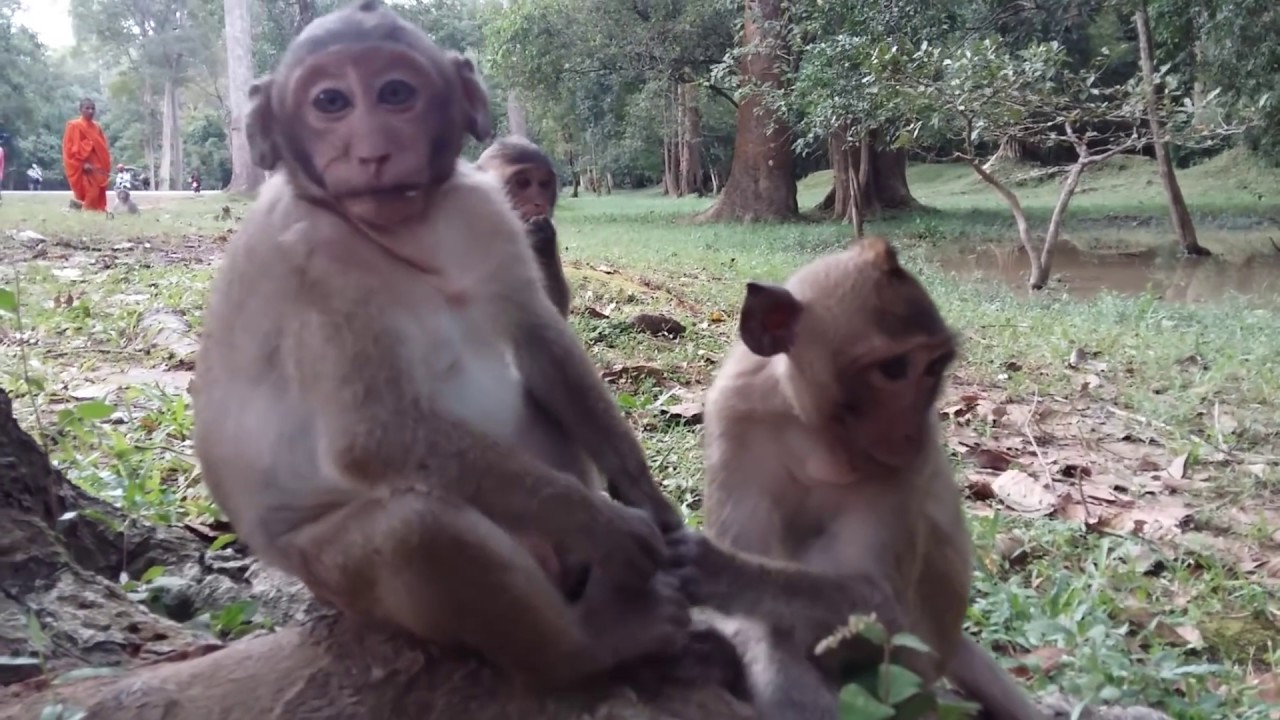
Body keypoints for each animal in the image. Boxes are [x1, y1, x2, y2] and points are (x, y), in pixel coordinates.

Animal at [678, 237, 1046, 720]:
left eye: (934, 366)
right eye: (893, 369)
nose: (911, 430)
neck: (814, 434)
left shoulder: (906, 465)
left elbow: (882, 607)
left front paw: (728, 574)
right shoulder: (735, 414)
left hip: (918, 659)